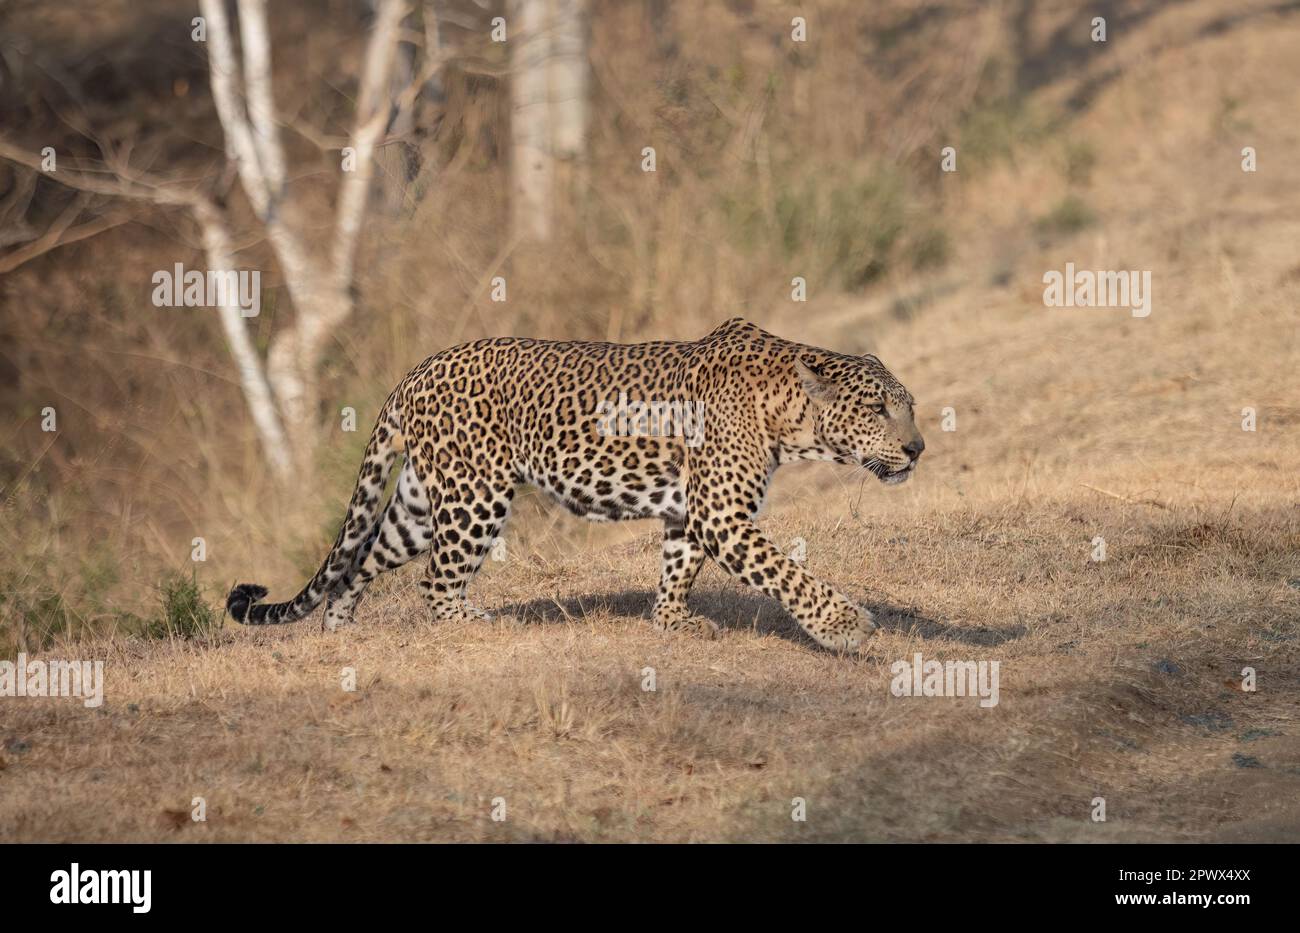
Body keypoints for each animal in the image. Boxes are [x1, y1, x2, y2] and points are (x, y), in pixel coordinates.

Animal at [226, 318, 925, 650]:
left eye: (910, 407)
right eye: (877, 409)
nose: (918, 448)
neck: (789, 414)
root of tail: (415, 371)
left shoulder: (691, 512)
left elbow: (678, 567)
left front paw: (671, 620)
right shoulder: (722, 514)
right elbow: (785, 571)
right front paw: (844, 626)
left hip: (423, 503)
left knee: (362, 556)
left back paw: (339, 630)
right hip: (475, 495)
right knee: (436, 580)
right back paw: (471, 623)